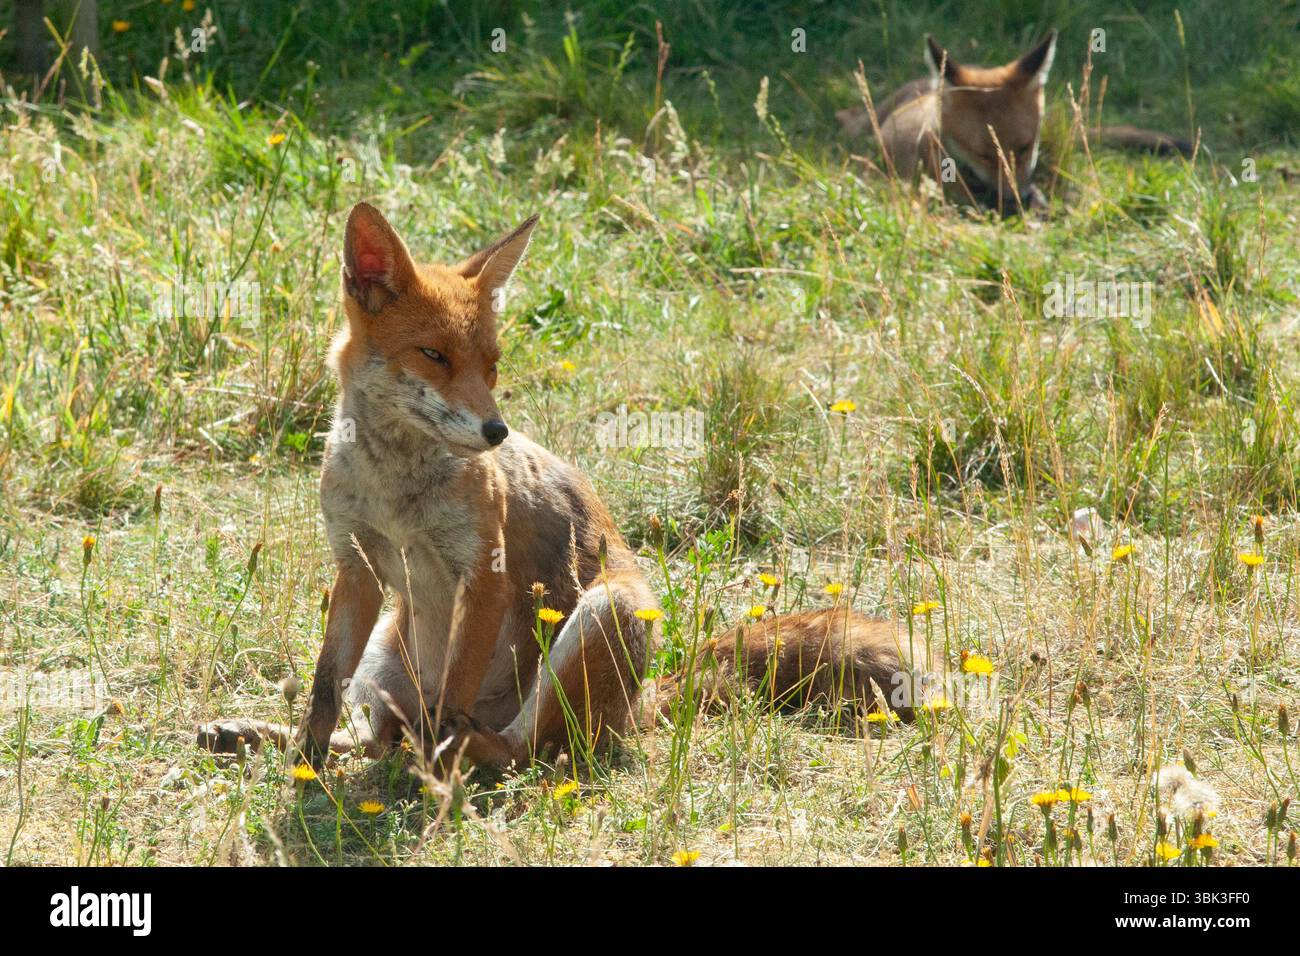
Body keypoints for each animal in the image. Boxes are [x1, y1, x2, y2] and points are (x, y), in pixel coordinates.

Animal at [196, 203, 932, 772]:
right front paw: (302, 772)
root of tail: (639, 702)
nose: (496, 431)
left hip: (606, 612)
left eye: (492, 365)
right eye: (434, 356)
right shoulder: (356, 568)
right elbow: (323, 693)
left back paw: (452, 758)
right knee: (380, 739)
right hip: (385, 654)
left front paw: (426, 785)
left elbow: (450, 701)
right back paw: (265, 738)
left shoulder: (484, 576)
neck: (397, 492)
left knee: (511, 747)